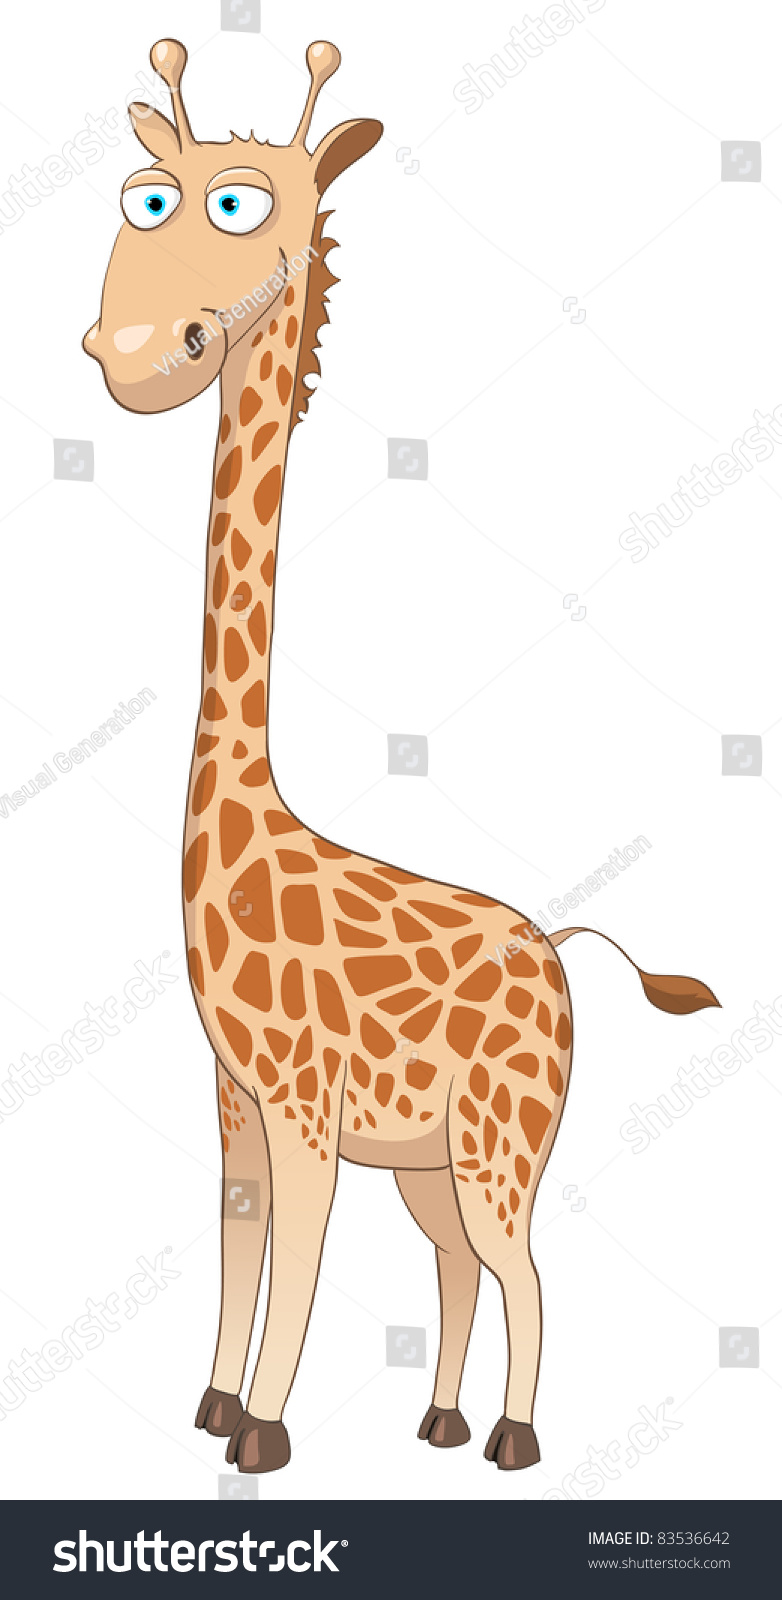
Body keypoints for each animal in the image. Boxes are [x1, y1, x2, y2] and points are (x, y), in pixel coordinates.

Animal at [83, 38, 720, 1474]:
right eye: (147, 198)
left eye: (241, 204)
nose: (136, 352)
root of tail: (560, 948)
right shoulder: (234, 1098)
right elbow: (239, 1245)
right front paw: (211, 1411)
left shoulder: (304, 1101)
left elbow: (302, 1259)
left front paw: (261, 1435)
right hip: (432, 1159)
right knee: (459, 1265)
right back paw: (437, 1424)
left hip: (498, 1142)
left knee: (524, 1264)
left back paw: (512, 1441)